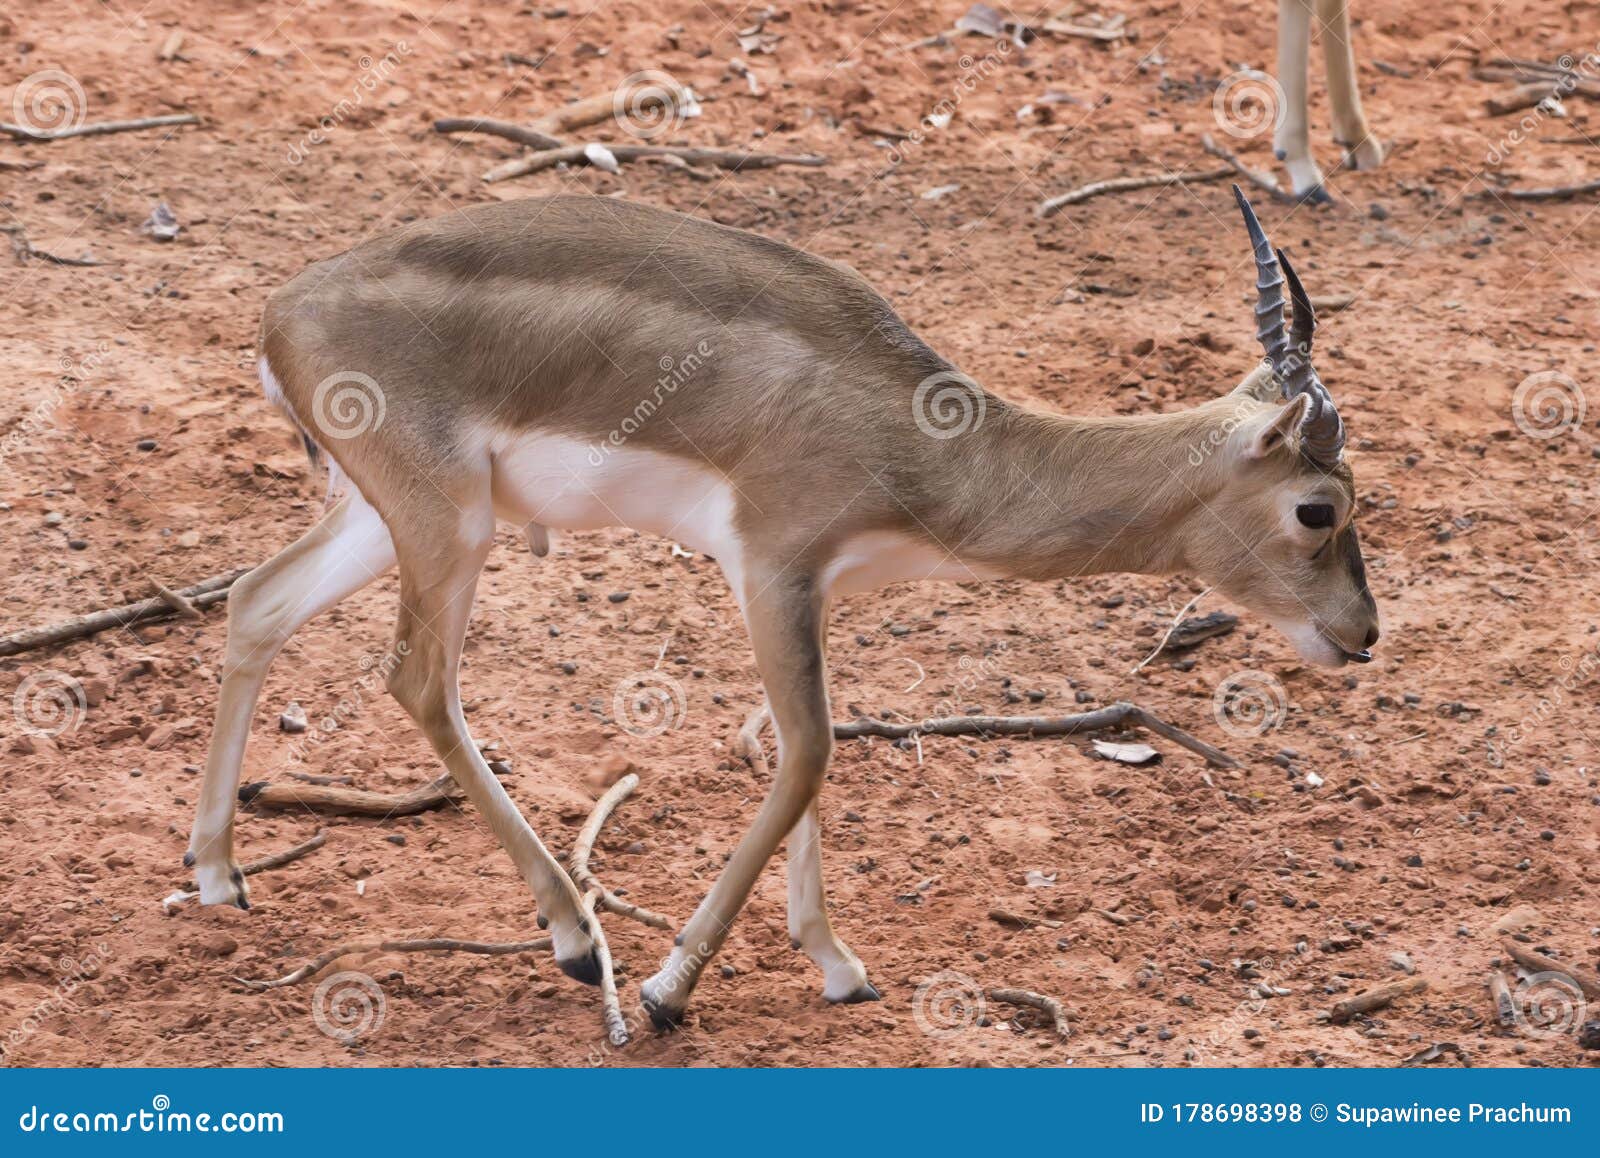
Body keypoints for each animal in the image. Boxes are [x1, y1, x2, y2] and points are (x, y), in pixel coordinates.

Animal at [186, 185, 1378, 1028]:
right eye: (1319, 508)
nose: (1362, 635)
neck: (926, 438)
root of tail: (283, 311)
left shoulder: (815, 592)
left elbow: (802, 746)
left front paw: (837, 965)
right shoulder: (767, 564)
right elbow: (807, 751)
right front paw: (670, 989)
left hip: (379, 517)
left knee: (255, 602)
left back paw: (216, 875)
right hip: (450, 525)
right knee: (418, 677)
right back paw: (574, 940)